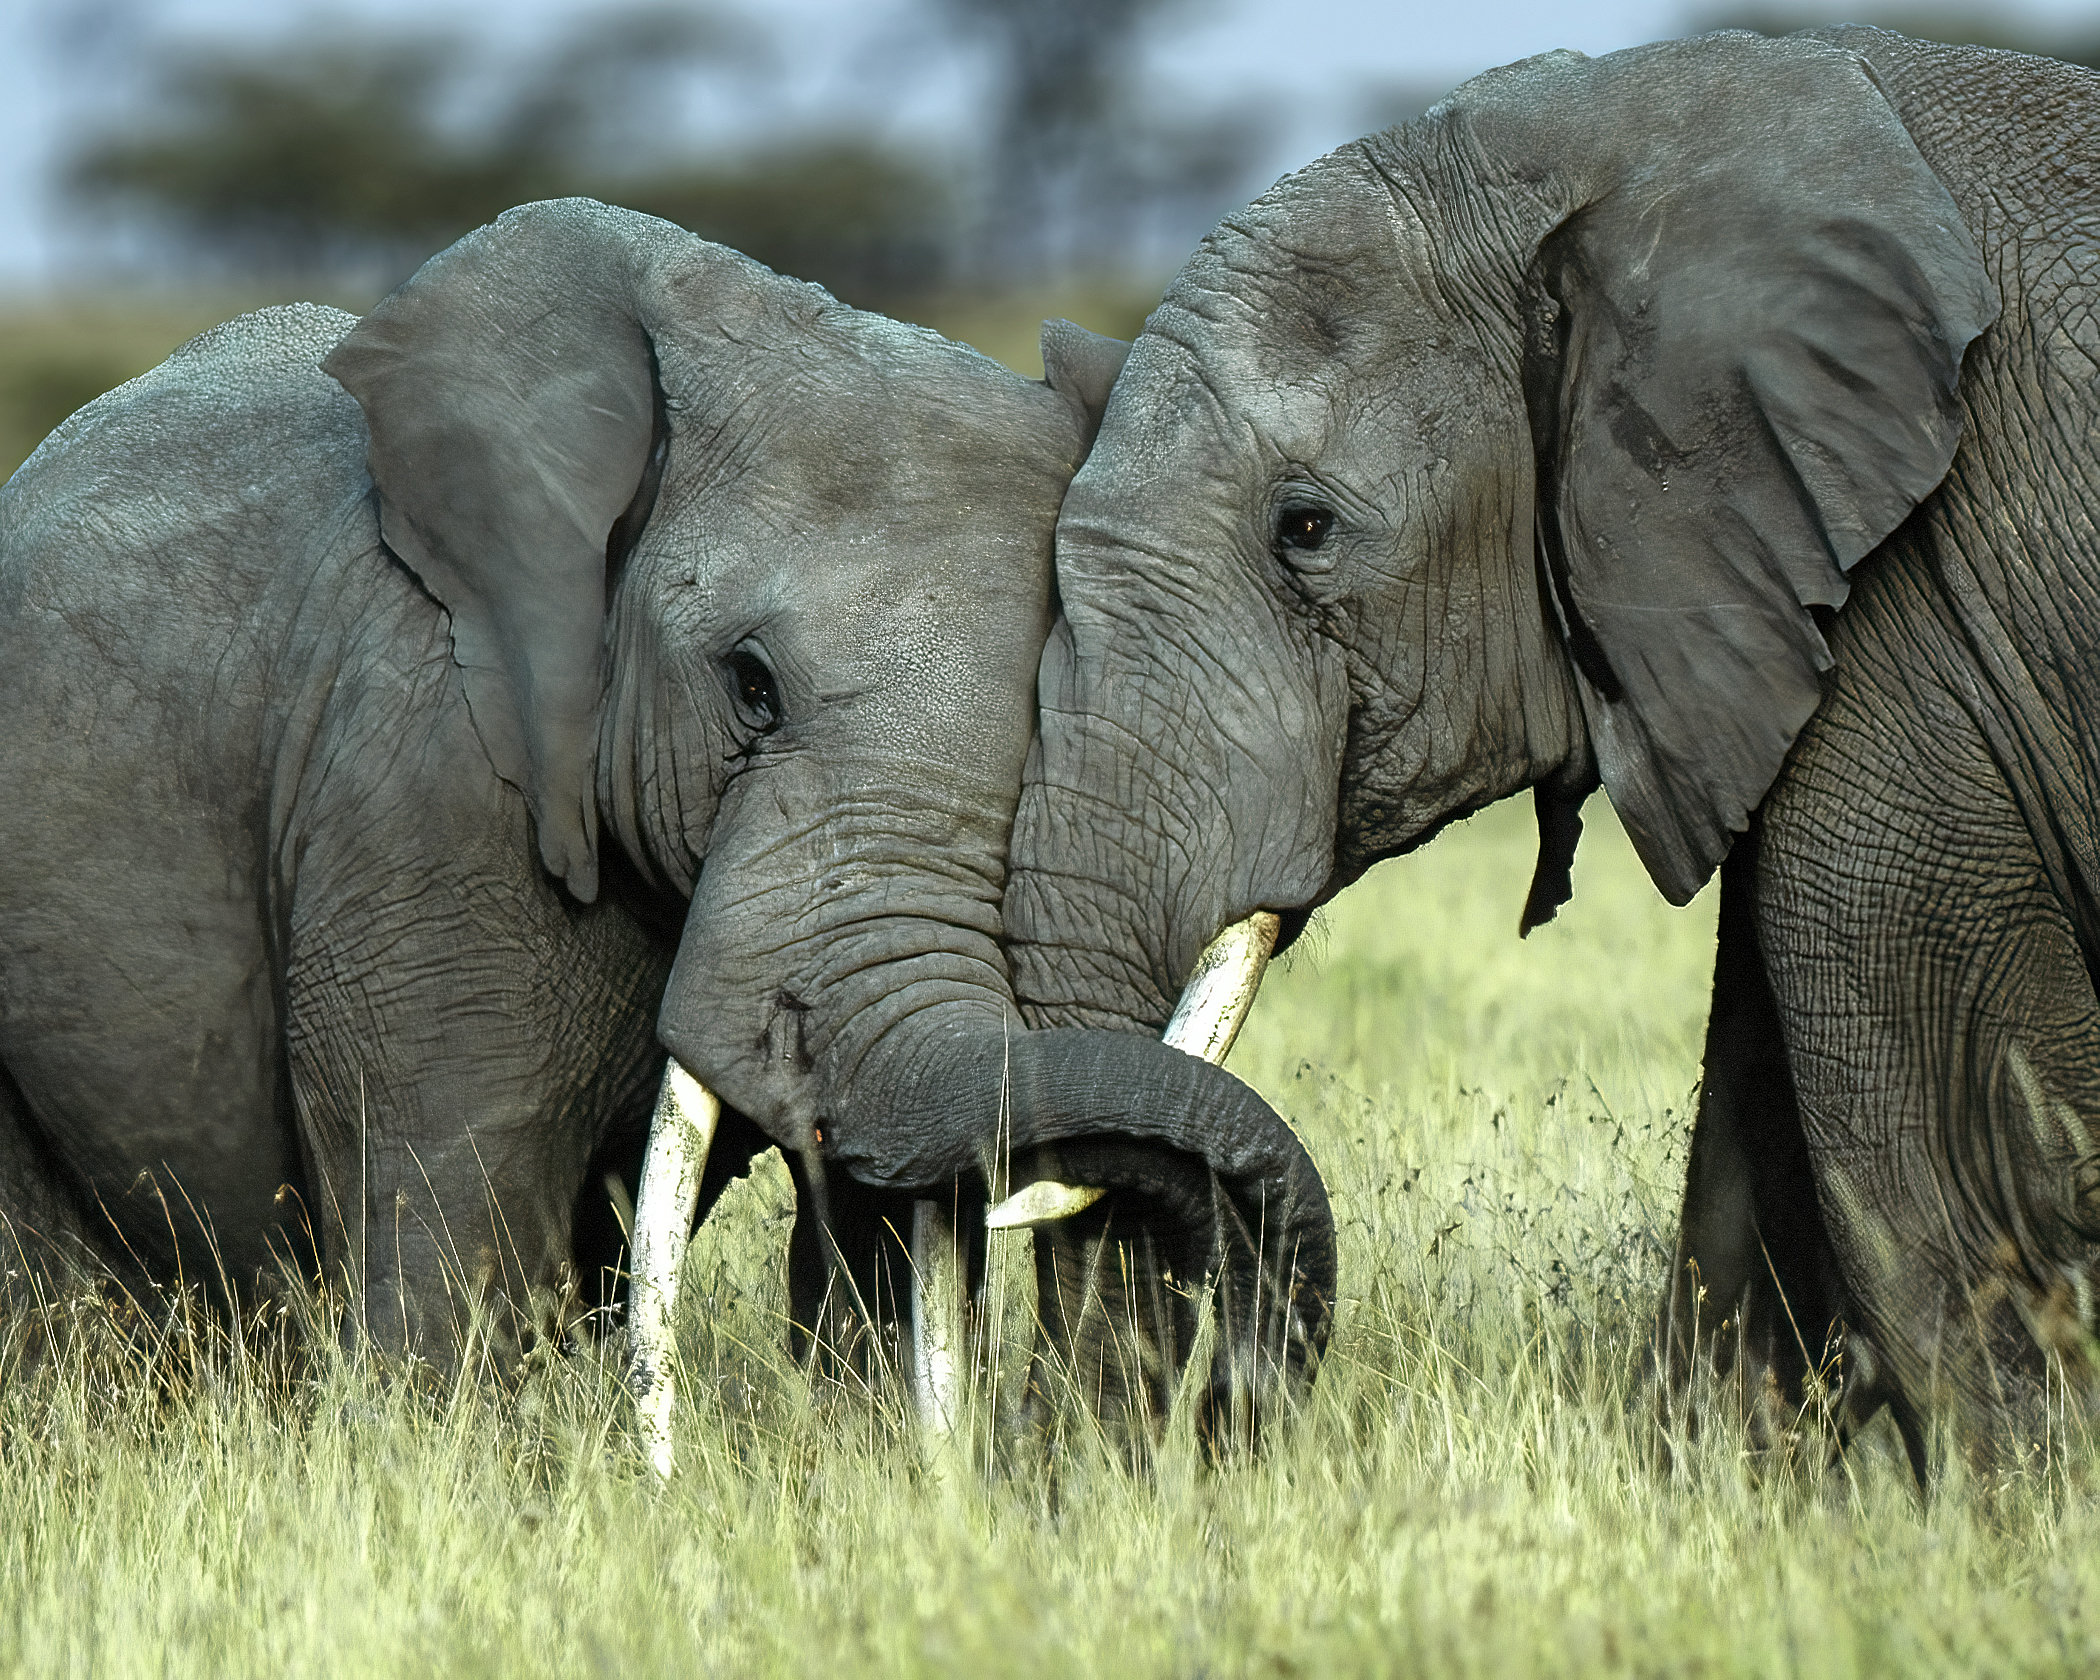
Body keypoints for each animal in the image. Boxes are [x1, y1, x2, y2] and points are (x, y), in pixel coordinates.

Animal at [1001, 26, 2100, 1472]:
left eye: (1306, 530)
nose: (1213, 1422)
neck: (1594, 150)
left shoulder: (1909, 613)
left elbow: (1955, 1179)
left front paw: (2017, 1510)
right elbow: (1758, 1162)